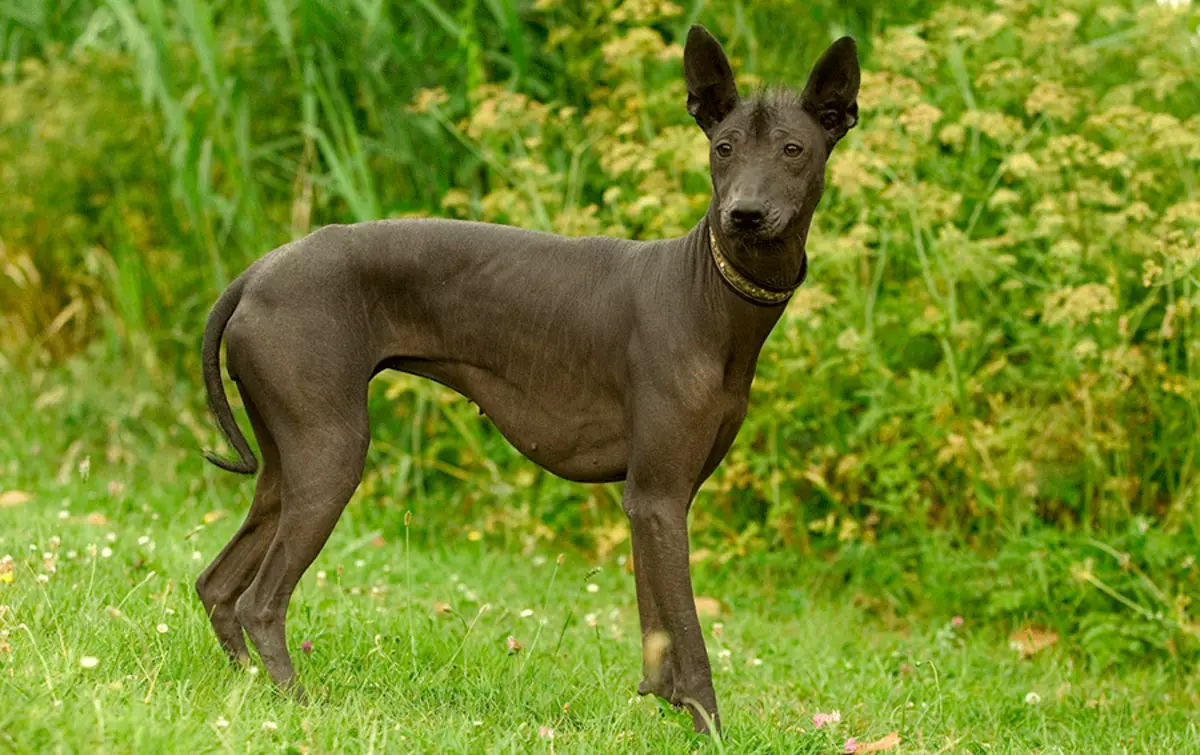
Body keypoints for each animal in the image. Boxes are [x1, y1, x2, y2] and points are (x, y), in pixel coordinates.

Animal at [199, 26, 854, 734]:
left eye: (793, 150)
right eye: (723, 147)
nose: (745, 214)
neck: (707, 294)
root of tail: (259, 270)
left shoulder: (655, 502)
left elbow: (658, 631)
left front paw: (663, 703)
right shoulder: (657, 498)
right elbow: (691, 638)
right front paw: (708, 729)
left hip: (286, 467)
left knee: (218, 586)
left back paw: (248, 690)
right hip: (330, 459)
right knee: (261, 601)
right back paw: (296, 704)